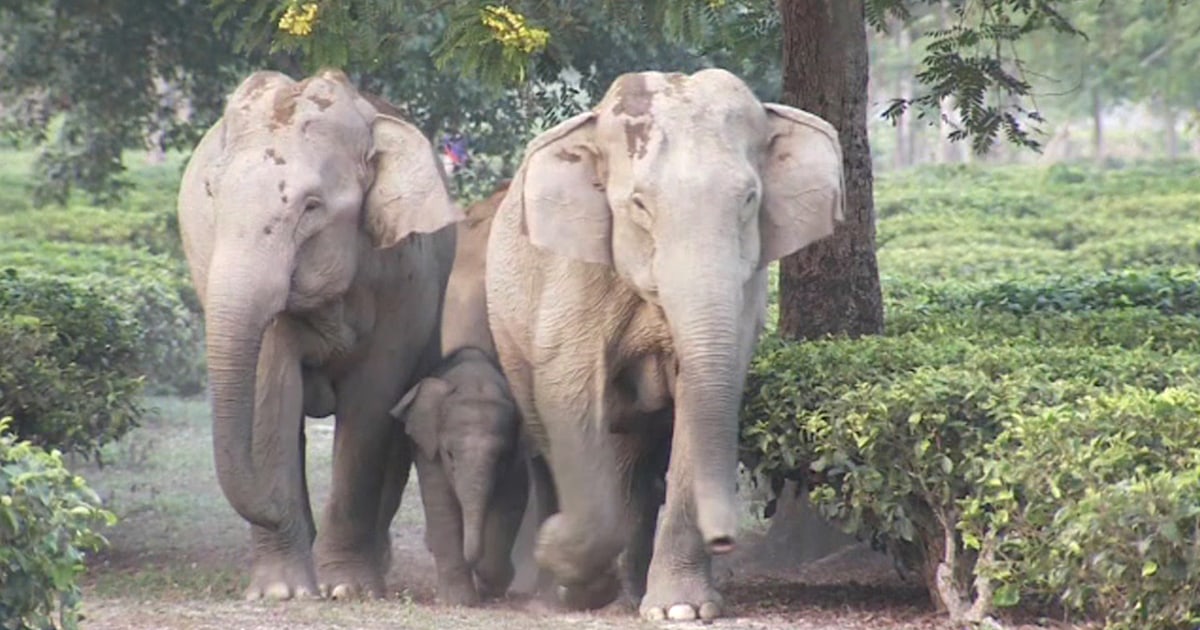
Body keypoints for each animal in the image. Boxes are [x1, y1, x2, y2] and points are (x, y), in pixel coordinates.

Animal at [176, 68, 463, 600]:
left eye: (311, 207)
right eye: (212, 196)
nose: (276, 509)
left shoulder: (403, 281)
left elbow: (371, 407)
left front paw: (349, 588)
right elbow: (271, 395)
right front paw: (281, 592)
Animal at [389, 345, 527, 606]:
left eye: (502, 458)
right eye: (449, 454)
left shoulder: (518, 455)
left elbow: (510, 502)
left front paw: (492, 583)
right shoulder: (429, 448)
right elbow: (441, 504)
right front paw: (459, 602)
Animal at [485, 69, 845, 621]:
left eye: (749, 199)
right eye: (639, 205)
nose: (724, 539)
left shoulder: (744, 291)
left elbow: (698, 401)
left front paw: (680, 610)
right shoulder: (575, 277)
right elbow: (569, 394)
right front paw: (567, 568)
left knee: (635, 462)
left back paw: (632, 591)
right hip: (506, 328)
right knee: (551, 435)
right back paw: (560, 589)